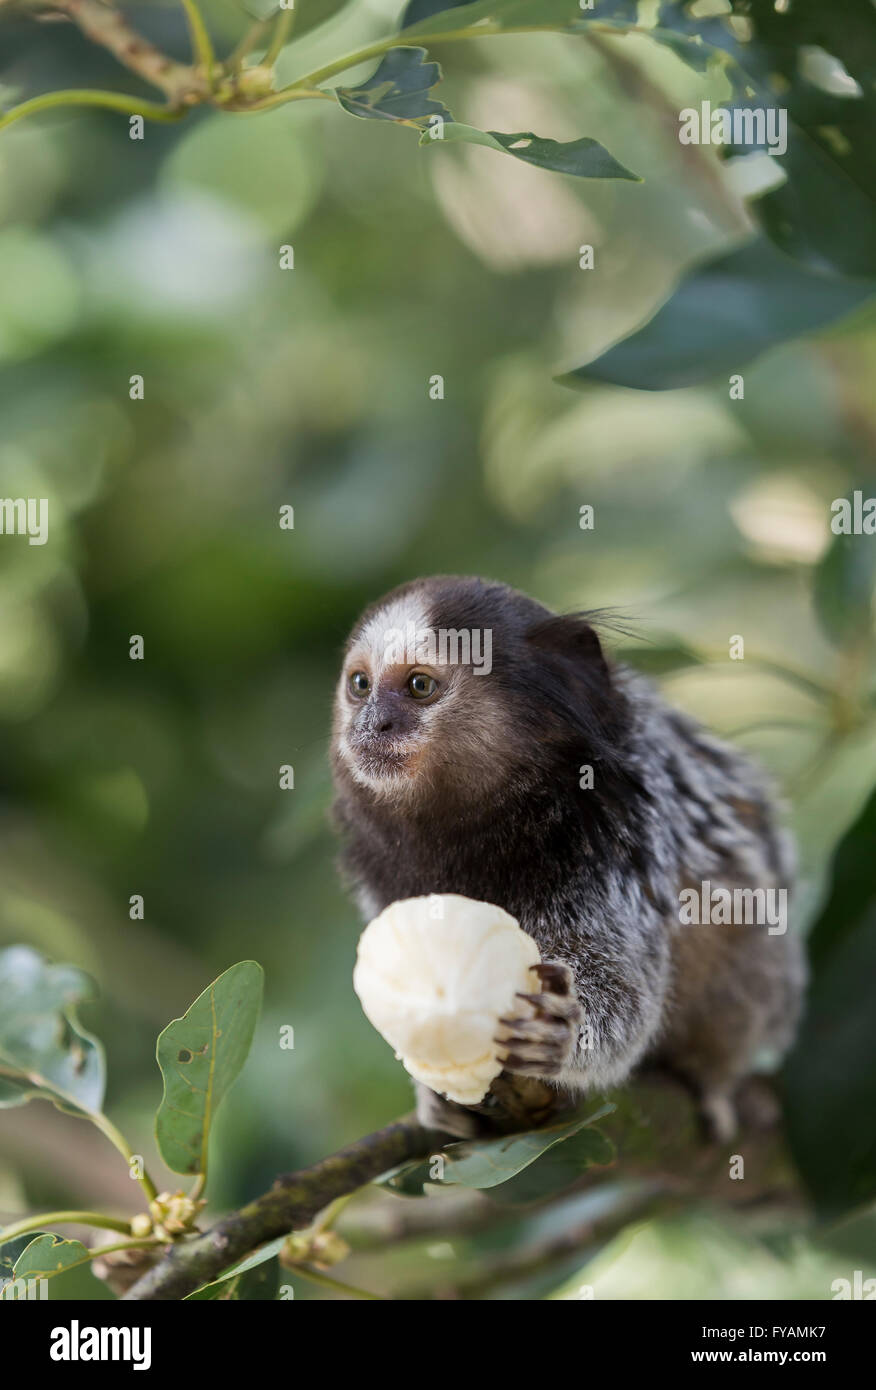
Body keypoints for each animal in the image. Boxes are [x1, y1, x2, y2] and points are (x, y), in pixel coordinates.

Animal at [330, 575, 807, 1142]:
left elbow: (629, 993)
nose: (371, 723)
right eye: (360, 685)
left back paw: (712, 1080)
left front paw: (563, 1031)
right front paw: (435, 1096)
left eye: (419, 685)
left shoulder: (616, 851)